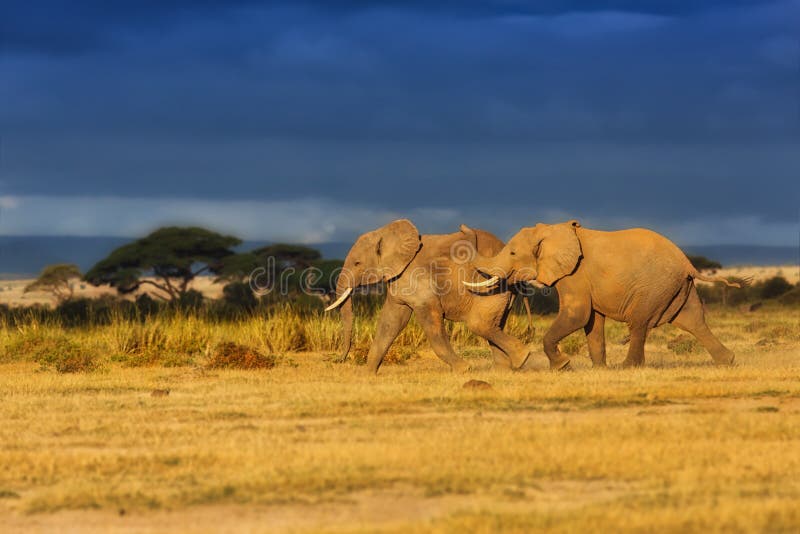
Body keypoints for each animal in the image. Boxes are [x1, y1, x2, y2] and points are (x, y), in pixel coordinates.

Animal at [325, 219, 533, 374]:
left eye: (357, 263)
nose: (340, 359)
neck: (385, 233)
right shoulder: (399, 280)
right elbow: (391, 322)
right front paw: (368, 374)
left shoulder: (418, 280)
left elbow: (430, 322)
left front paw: (463, 370)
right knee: (493, 324)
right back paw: (503, 371)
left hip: (492, 285)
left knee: (478, 323)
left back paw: (523, 358)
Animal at [464, 220, 747, 369]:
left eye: (512, 253)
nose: (465, 228)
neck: (551, 230)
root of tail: (687, 262)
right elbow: (592, 321)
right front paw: (598, 369)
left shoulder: (574, 274)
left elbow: (577, 315)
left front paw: (562, 367)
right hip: (677, 287)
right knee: (693, 320)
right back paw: (728, 361)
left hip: (654, 286)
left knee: (640, 322)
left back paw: (628, 367)